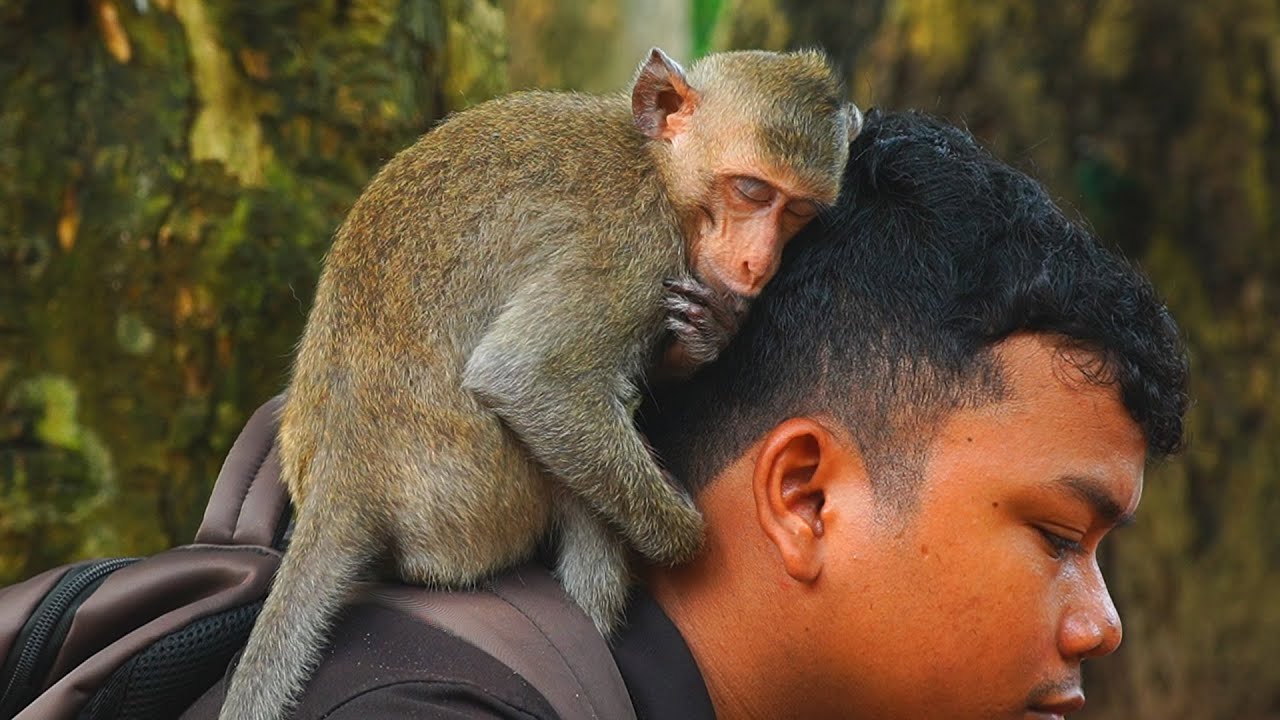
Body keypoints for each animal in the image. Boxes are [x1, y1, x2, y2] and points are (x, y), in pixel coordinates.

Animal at [220, 47, 859, 720]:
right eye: (751, 190)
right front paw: (687, 540)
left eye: (797, 213)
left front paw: (710, 333)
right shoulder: (633, 246)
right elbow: (527, 378)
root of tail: (343, 481)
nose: (757, 265)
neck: (655, 167)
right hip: (480, 503)